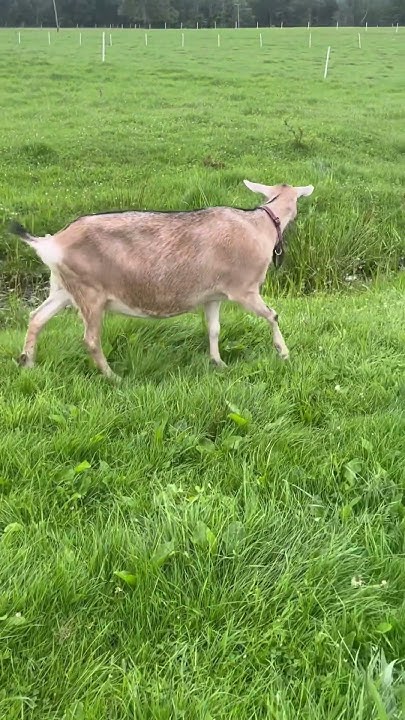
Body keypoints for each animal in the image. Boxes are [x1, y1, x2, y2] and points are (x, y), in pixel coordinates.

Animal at [9, 180, 314, 380]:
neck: (260, 225)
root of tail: (50, 243)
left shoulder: (212, 295)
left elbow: (214, 329)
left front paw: (218, 362)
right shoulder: (243, 289)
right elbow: (273, 315)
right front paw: (283, 353)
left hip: (63, 287)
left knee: (37, 317)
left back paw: (28, 362)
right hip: (90, 293)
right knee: (91, 339)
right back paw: (113, 376)